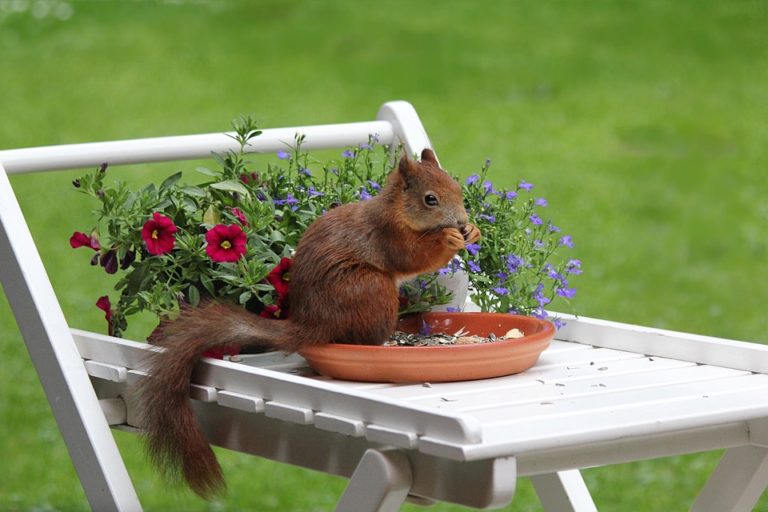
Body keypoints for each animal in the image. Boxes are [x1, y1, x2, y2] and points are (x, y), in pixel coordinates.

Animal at [137, 148, 481, 499]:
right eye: (430, 199)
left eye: (456, 187)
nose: (461, 222)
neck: (397, 210)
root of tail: (312, 324)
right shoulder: (389, 235)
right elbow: (413, 257)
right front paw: (448, 238)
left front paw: (473, 231)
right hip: (372, 288)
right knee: (362, 339)